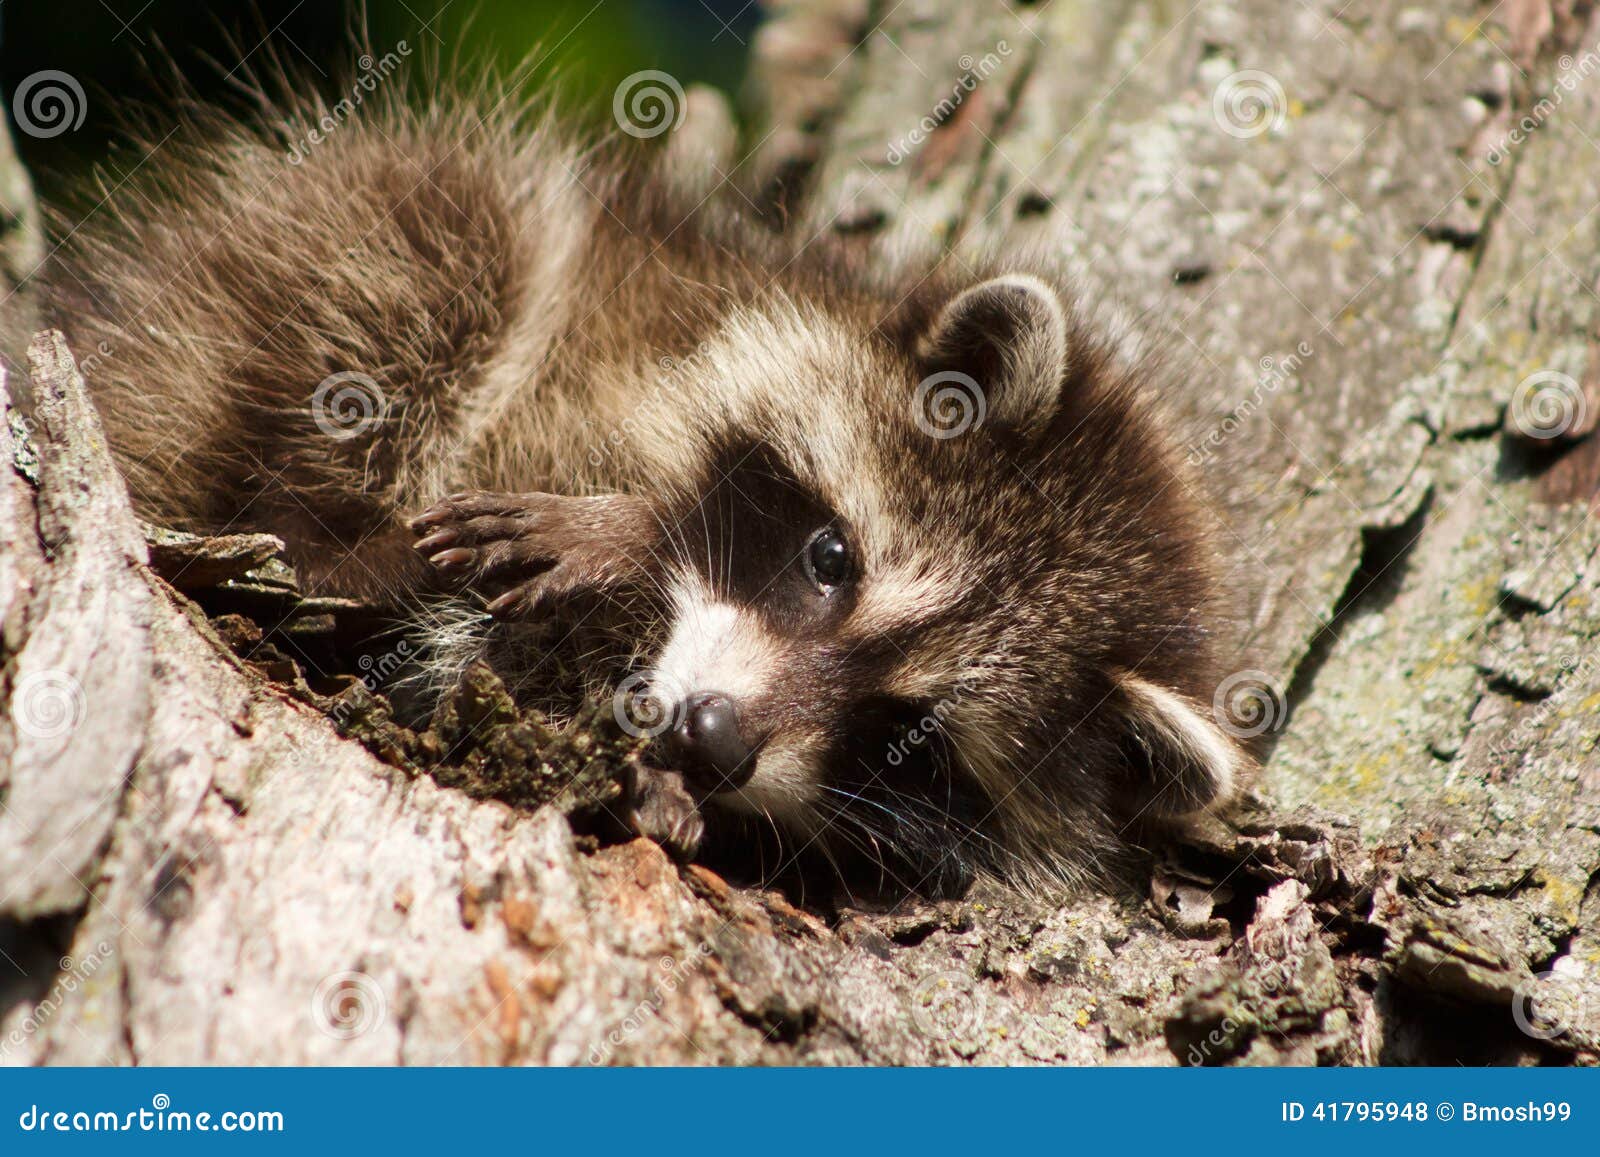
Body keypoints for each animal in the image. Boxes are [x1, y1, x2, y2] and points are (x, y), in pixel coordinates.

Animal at [30, 78, 1246, 899]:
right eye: (831, 560)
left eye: (914, 739)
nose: (713, 737)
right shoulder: (623, 344)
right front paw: (631, 535)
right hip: (290, 276)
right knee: (427, 253)